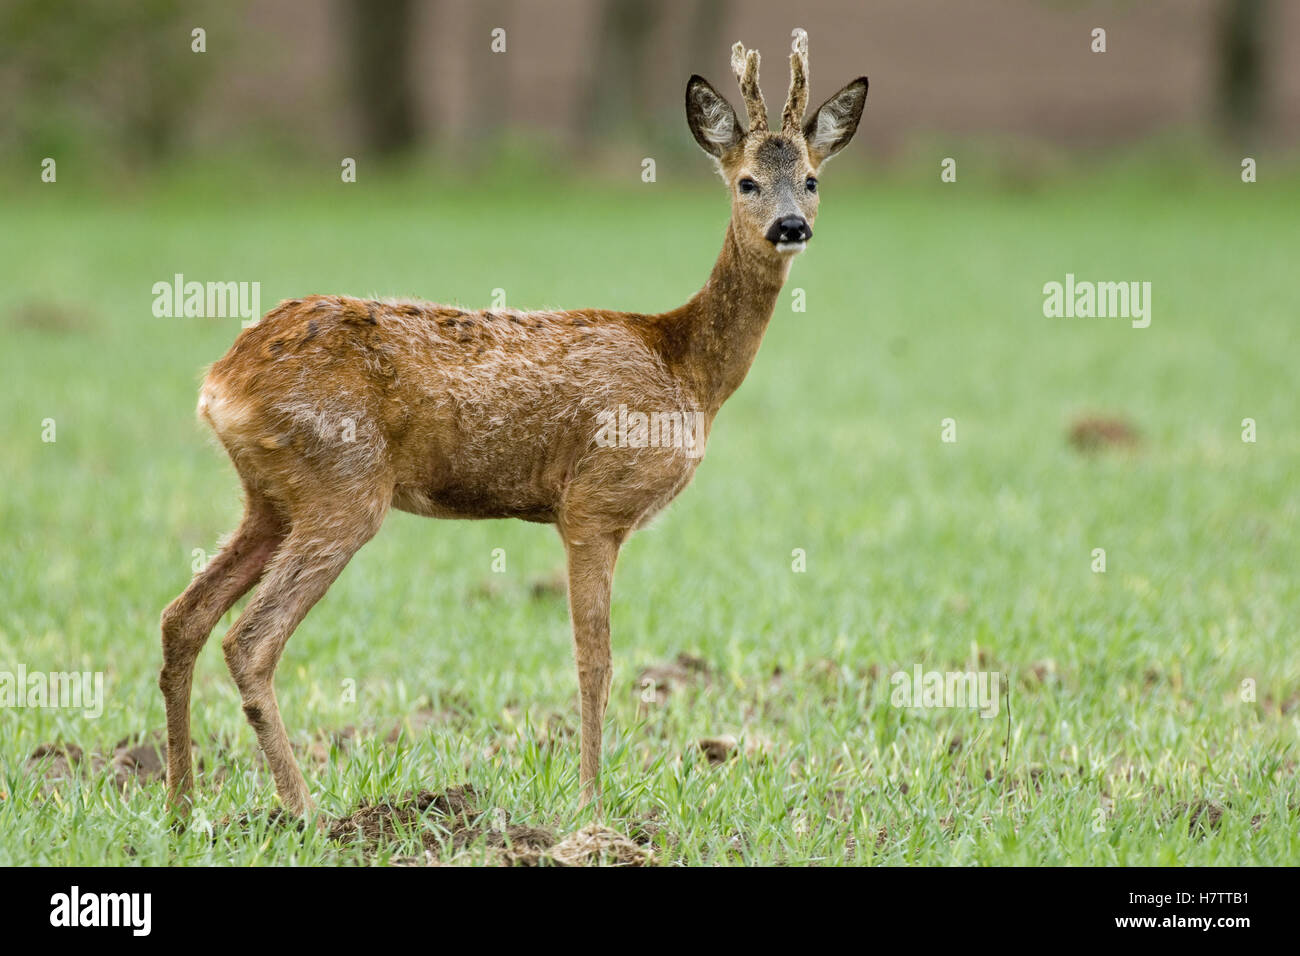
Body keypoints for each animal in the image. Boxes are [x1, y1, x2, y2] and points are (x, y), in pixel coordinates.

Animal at [159, 29, 867, 818]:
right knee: (250, 640)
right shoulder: (594, 502)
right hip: (341, 484)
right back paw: (306, 813)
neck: (685, 368)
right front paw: (590, 803)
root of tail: (219, 383)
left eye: (812, 179)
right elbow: (595, 659)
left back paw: (182, 804)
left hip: (271, 497)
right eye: (746, 182)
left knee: (182, 617)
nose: (790, 226)